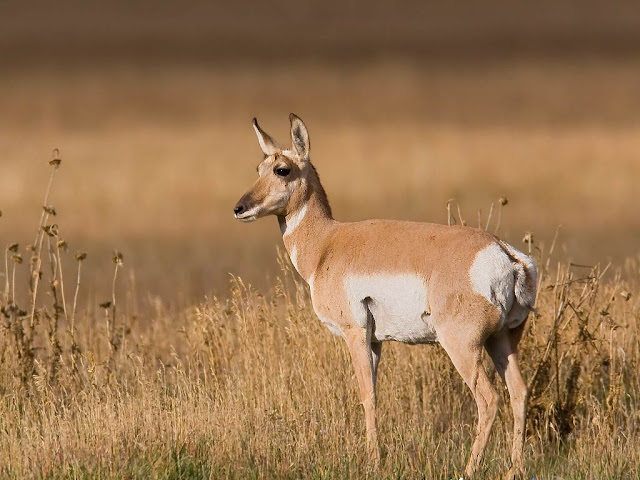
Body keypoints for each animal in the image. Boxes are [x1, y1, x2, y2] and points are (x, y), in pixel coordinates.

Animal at [233, 114, 537, 479]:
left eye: (282, 169)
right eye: (259, 167)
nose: (239, 208)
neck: (326, 243)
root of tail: (505, 254)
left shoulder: (355, 333)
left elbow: (367, 394)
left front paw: (372, 461)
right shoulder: (376, 341)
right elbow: (376, 393)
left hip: (463, 346)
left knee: (489, 400)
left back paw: (468, 469)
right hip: (502, 341)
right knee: (519, 392)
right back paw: (515, 469)